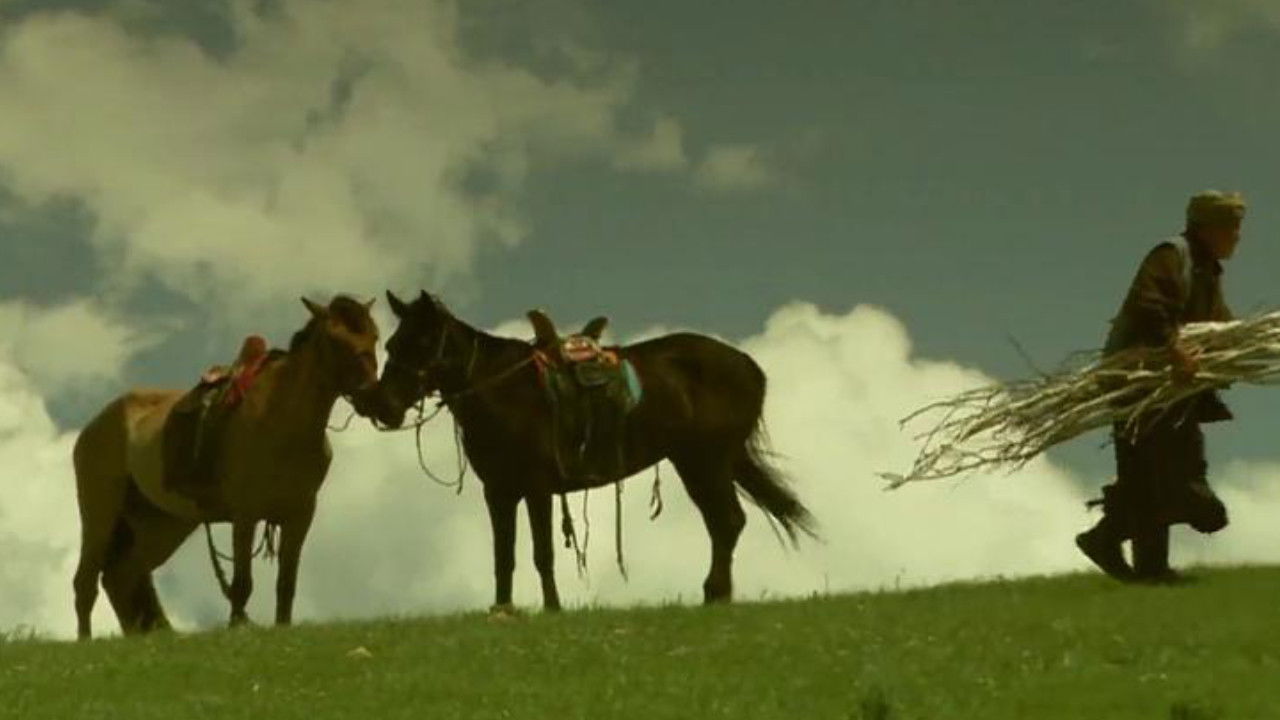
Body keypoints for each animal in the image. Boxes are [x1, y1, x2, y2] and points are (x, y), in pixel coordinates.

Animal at [71, 296, 380, 639]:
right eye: (334, 340)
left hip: (160, 523)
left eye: (374, 337)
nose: (373, 395)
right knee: (85, 583)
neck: (281, 419)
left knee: (123, 576)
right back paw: (85, 641)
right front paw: (237, 628)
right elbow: (242, 584)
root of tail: (92, 426)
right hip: (100, 513)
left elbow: (286, 583)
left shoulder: (300, 515)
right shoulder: (245, 514)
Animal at [356, 290, 815, 612]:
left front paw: (552, 608)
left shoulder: (536, 488)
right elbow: (503, 555)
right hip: (697, 461)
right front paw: (502, 609)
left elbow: (542, 554)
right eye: (392, 344)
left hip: (706, 461)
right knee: (724, 523)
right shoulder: (499, 492)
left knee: (727, 522)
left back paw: (714, 593)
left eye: (422, 341)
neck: (503, 391)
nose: (379, 405)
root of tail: (751, 367)